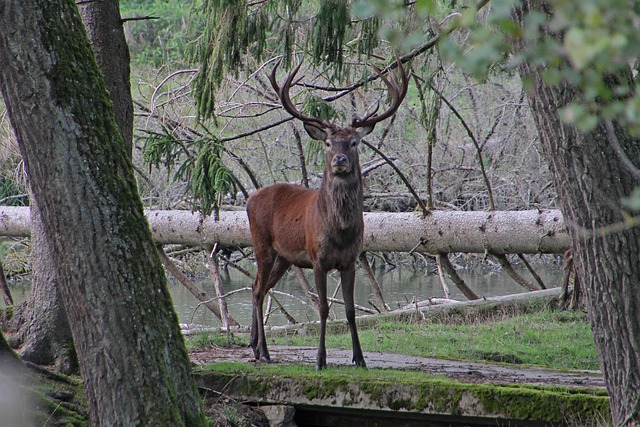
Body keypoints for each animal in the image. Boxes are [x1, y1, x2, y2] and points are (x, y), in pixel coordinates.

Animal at [247, 58, 409, 370]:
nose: (340, 160)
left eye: (354, 142)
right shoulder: (317, 258)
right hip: (262, 244)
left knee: (257, 286)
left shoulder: (350, 260)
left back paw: (255, 346)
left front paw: (360, 358)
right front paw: (320, 360)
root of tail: (249, 199)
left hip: (285, 257)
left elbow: (350, 310)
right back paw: (263, 351)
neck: (341, 231)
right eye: (328, 143)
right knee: (259, 289)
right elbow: (322, 308)